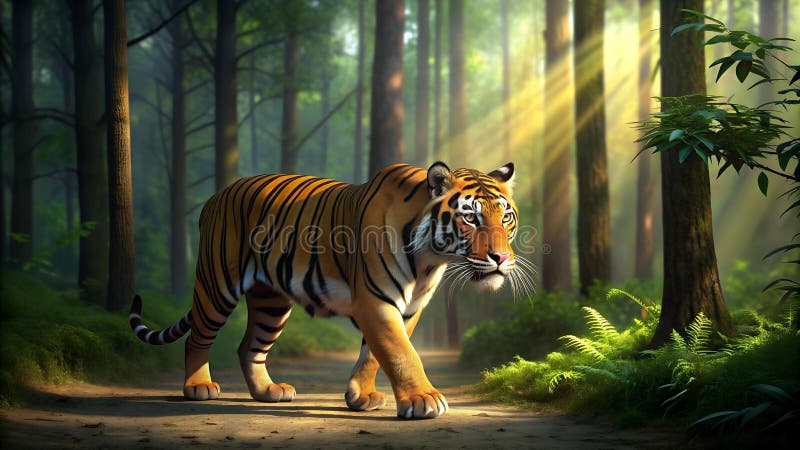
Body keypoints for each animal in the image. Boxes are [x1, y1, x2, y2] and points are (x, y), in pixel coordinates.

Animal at [129, 161, 524, 419]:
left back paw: (268, 392)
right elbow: (400, 352)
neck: (429, 260)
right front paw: (422, 399)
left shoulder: (409, 307)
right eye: (470, 217)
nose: (501, 258)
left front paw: (361, 396)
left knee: (249, 347)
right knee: (198, 337)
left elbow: (374, 354)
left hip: (271, 302)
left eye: (505, 217)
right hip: (217, 284)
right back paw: (198, 387)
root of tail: (214, 197)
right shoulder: (375, 301)